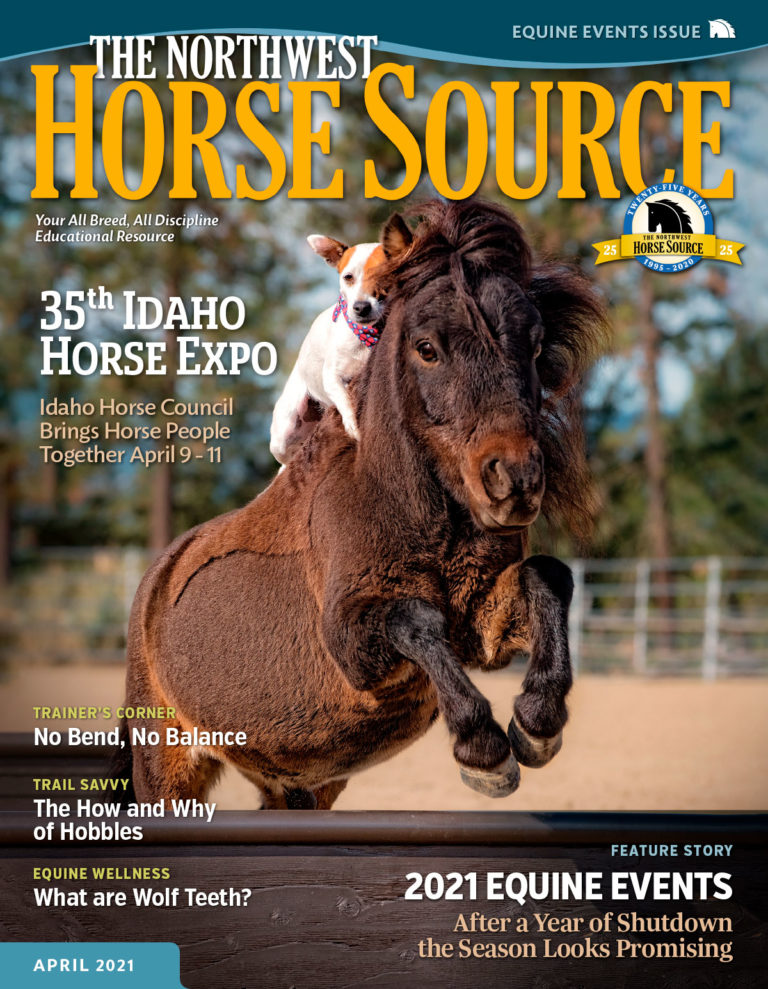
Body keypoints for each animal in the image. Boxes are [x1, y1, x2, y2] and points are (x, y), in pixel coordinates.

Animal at [115, 199, 607, 810]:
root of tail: (156, 578)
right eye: (427, 348)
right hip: (166, 767)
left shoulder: (483, 624)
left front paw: (537, 722)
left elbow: (547, 577)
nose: (514, 479)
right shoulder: (352, 645)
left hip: (299, 787)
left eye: (536, 346)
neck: (400, 502)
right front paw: (484, 750)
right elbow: (416, 620)